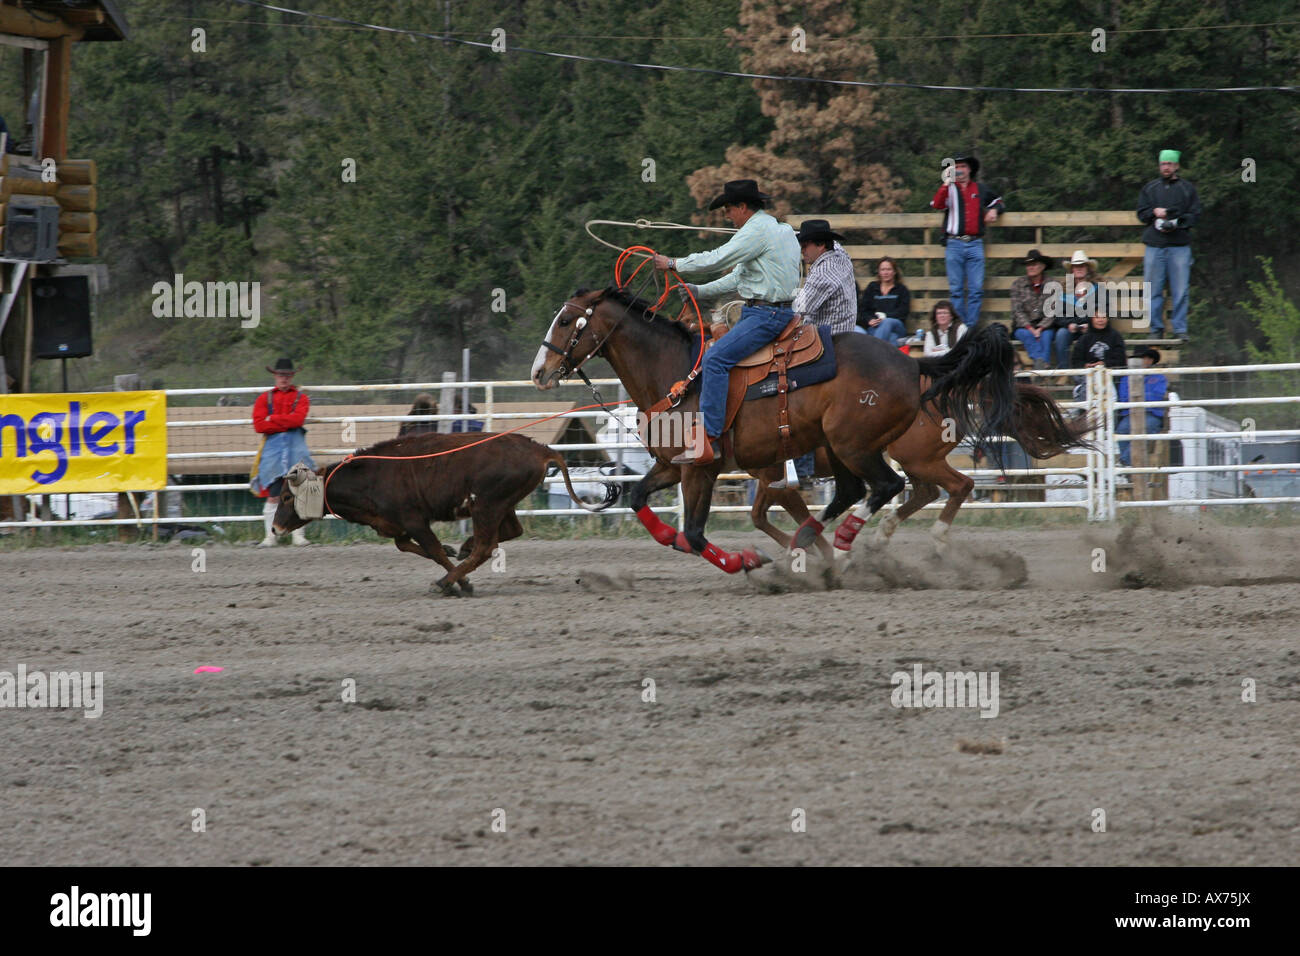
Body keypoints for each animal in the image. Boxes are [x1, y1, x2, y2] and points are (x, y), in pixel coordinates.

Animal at [271, 431, 616, 596]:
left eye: (287, 496)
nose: (274, 529)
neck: (372, 475)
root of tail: (539, 449)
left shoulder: (414, 520)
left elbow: (433, 550)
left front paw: (458, 582)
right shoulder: (396, 525)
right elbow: (408, 546)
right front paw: (453, 553)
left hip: (487, 504)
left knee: (486, 547)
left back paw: (447, 578)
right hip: (502, 503)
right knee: (509, 532)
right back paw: (463, 549)